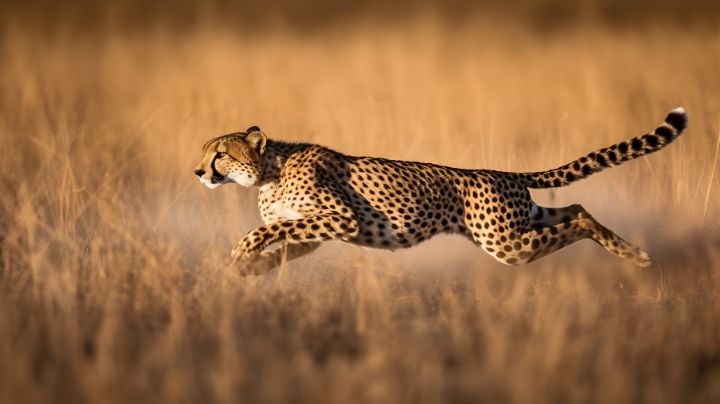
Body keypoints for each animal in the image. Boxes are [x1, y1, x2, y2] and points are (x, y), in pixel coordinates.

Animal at [194, 108, 687, 274]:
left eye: (219, 154)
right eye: (205, 152)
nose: (198, 172)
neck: (269, 170)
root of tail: (505, 173)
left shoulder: (341, 218)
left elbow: (263, 233)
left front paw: (241, 253)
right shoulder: (313, 233)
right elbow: (281, 246)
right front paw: (249, 271)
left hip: (504, 242)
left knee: (579, 219)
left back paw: (634, 255)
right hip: (520, 225)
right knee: (579, 207)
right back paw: (629, 252)